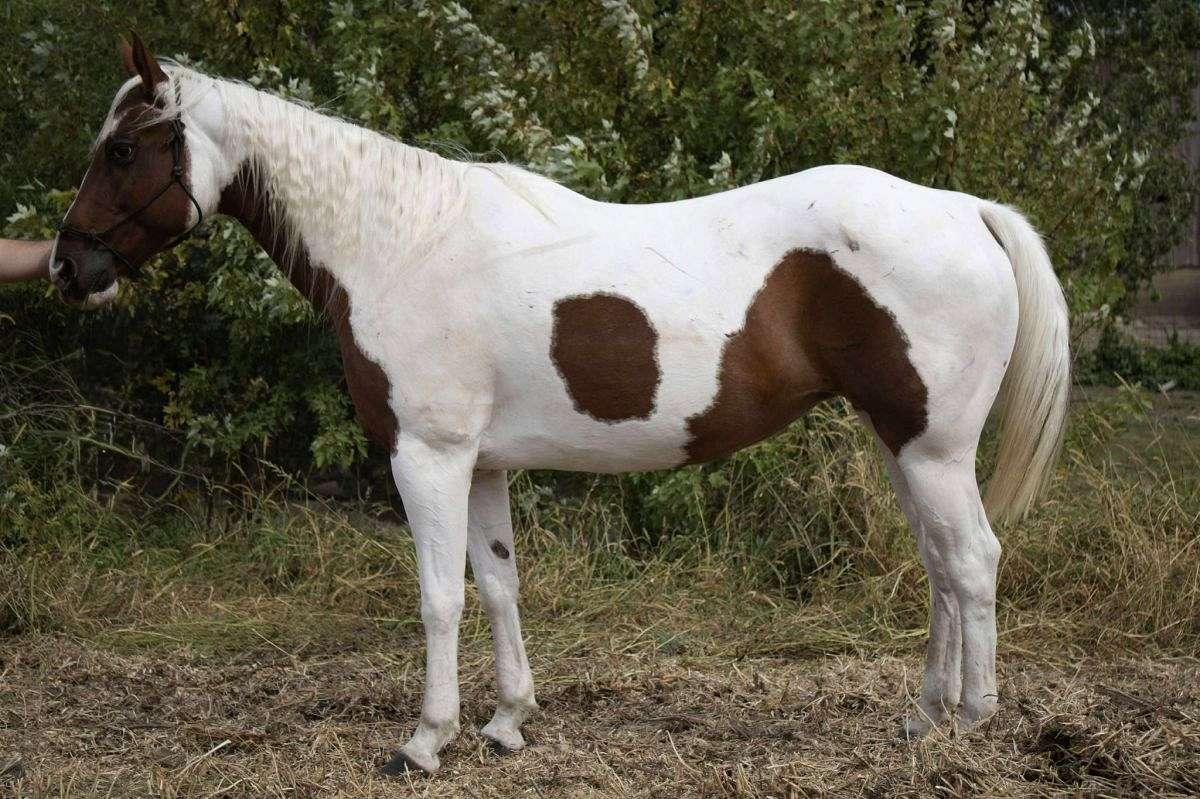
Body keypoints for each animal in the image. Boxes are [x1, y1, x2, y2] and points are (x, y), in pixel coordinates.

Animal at [51, 36, 1070, 775]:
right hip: (903, 444)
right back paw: (923, 716)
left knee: (971, 561)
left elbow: (437, 597)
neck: (400, 245)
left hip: (932, 449)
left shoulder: (426, 456)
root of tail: (965, 208)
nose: (70, 267)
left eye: (125, 148)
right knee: (940, 568)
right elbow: (498, 583)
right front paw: (507, 721)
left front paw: (424, 740)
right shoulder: (481, 463)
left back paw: (971, 722)